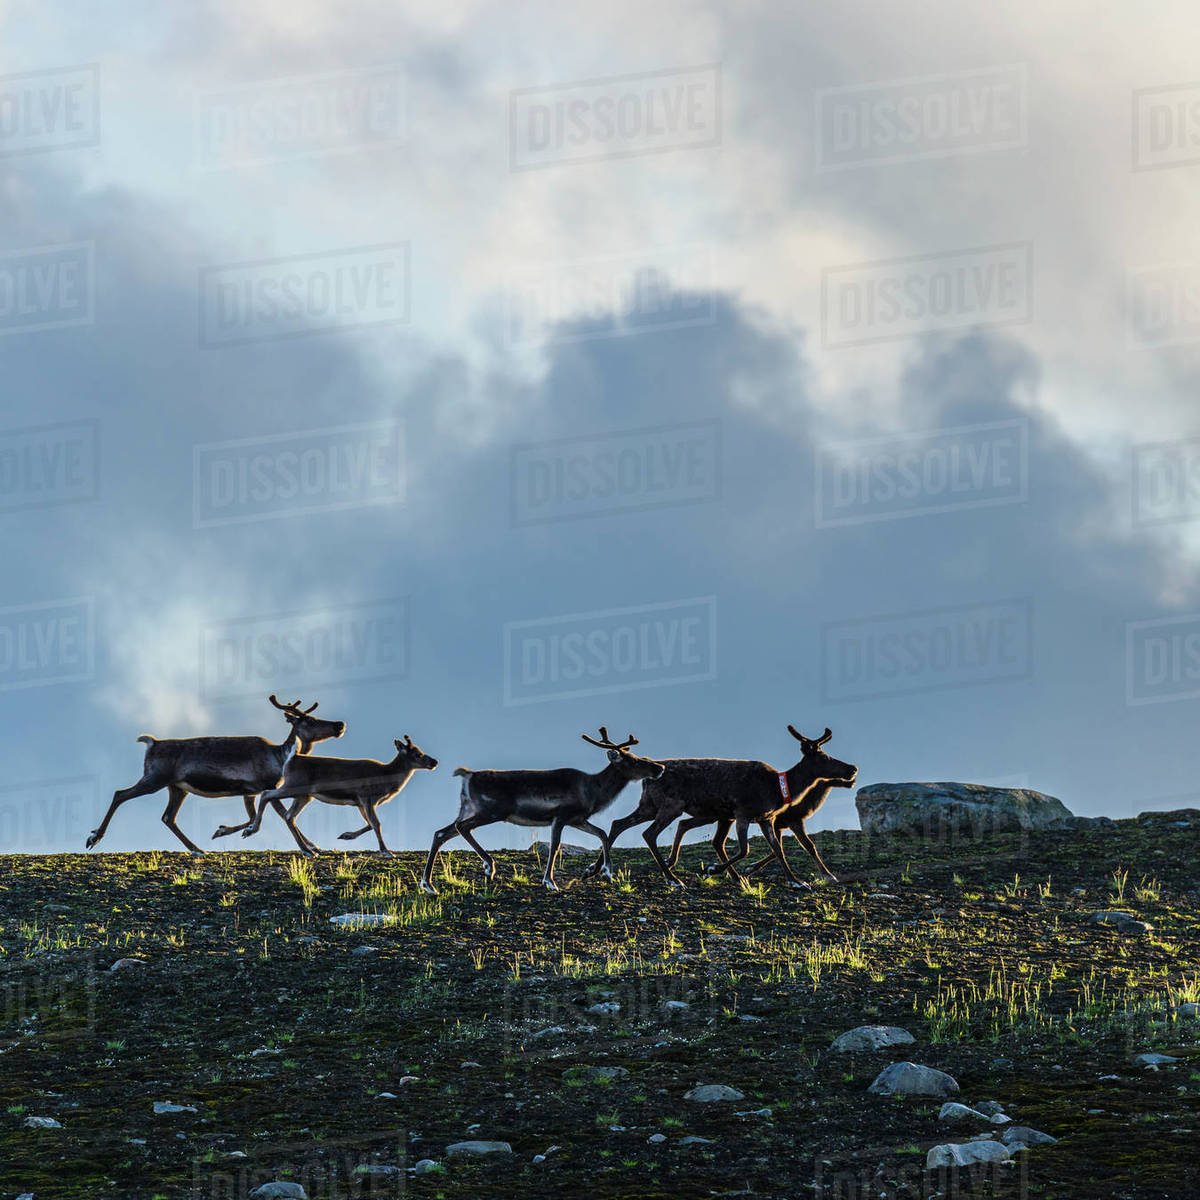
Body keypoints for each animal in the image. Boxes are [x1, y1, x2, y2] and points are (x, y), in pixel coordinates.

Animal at [87, 695, 346, 854]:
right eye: (310, 720)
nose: (339, 724)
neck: (280, 757)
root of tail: (151, 742)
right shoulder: (265, 785)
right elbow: (282, 816)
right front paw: (308, 848)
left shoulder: (249, 791)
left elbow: (256, 817)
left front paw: (223, 830)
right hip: (154, 778)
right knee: (120, 794)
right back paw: (94, 837)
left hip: (177, 787)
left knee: (168, 817)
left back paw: (196, 849)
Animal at [234, 735, 438, 857]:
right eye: (418, 754)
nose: (434, 762)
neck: (387, 778)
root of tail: (292, 758)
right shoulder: (367, 797)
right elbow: (376, 824)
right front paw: (386, 851)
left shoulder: (359, 802)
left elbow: (369, 824)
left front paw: (347, 835)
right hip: (294, 786)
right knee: (267, 794)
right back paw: (251, 830)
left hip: (304, 795)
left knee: (288, 815)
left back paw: (308, 850)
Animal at [419, 727, 664, 894]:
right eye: (634, 761)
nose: (659, 767)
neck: (594, 791)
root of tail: (466, 775)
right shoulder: (561, 815)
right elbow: (555, 847)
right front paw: (550, 882)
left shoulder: (577, 818)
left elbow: (602, 834)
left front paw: (607, 872)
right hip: (491, 810)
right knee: (461, 828)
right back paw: (489, 866)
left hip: (467, 808)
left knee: (441, 833)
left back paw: (428, 884)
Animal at [583, 725, 857, 889]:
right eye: (825, 757)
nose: (852, 768)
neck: (781, 787)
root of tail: (648, 778)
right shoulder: (743, 814)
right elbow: (745, 849)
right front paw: (715, 869)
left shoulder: (766, 819)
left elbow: (778, 850)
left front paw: (796, 881)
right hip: (671, 806)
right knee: (648, 834)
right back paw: (672, 878)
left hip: (650, 806)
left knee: (617, 824)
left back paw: (594, 869)